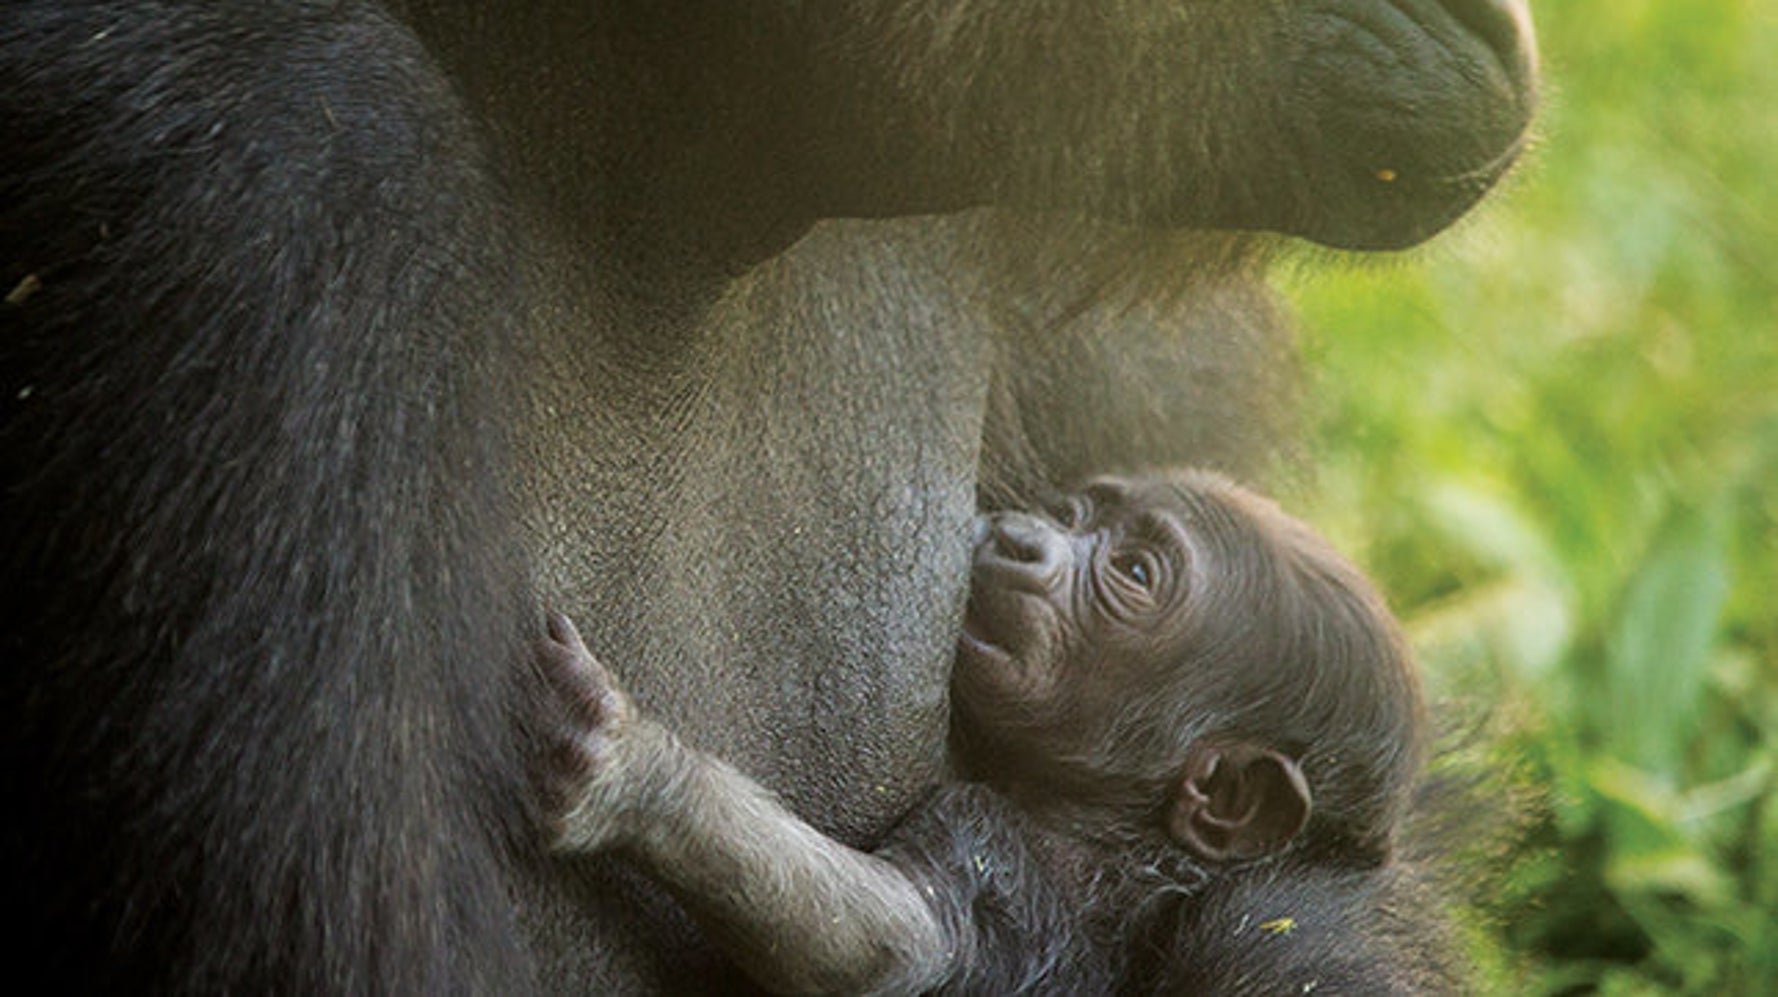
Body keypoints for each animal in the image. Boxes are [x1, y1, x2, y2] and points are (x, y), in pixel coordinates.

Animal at [532, 470, 1435, 993]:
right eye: (1073, 512)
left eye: (1134, 571)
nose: (1022, 536)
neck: (1122, 836)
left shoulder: (990, 843)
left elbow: (887, 933)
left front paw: (641, 776)